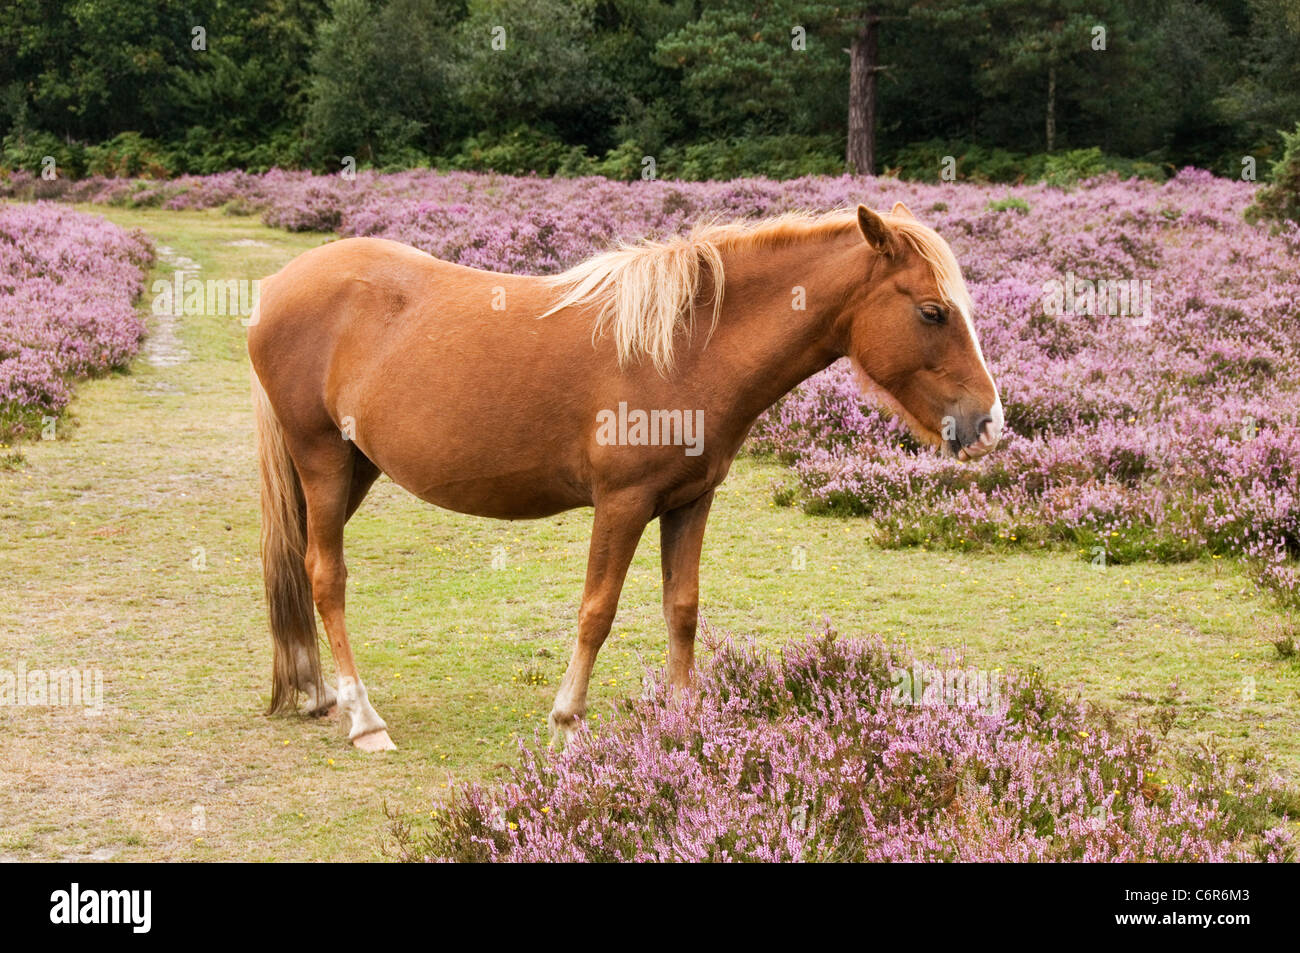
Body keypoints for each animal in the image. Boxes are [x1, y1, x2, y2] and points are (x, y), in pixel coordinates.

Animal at [247, 201, 1002, 751]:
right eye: (932, 311)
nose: (989, 423)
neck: (685, 348)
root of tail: (277, 288)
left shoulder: (690, 502)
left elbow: (682, 609)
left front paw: (685, 715)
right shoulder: (622, 504)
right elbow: (597, 611)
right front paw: (568, 717)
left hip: (353, 470)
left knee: (301, 566)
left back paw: (314, 691)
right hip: (322, 459)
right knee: (326, 577)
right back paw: (364, 718)